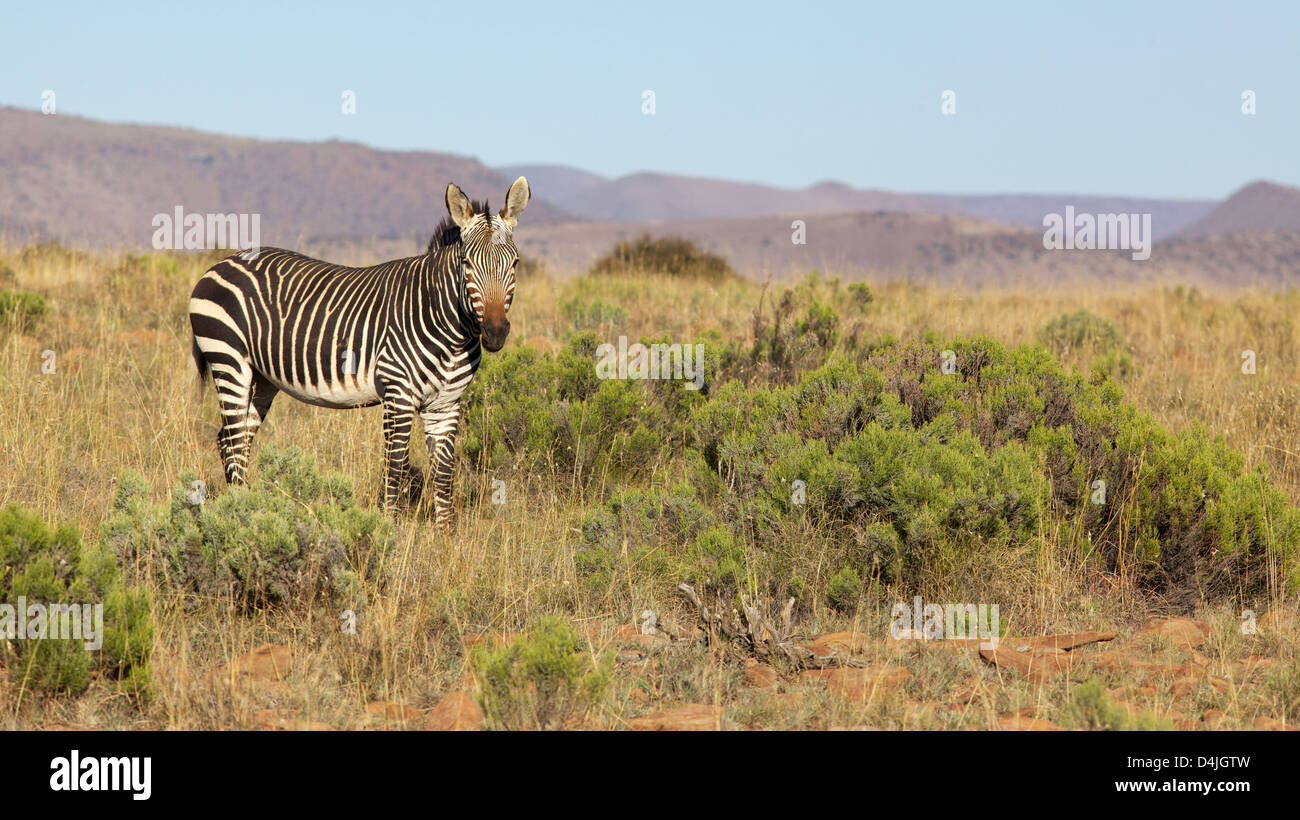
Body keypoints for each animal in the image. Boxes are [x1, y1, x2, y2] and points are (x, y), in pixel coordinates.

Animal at [188, 176, 530, 530]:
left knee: (233, 440)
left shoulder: (446, 404)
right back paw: (238, 514)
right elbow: (395, 467)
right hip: (229, 360)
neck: (449, 331)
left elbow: (445, 475)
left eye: (515, 264)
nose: (495, 333)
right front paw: (389, 530)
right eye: (467, 264)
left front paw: (445, 537)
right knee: (233, 439)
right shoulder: (398, 393)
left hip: (263, 377)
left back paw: (245, 507)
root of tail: (224, 262)